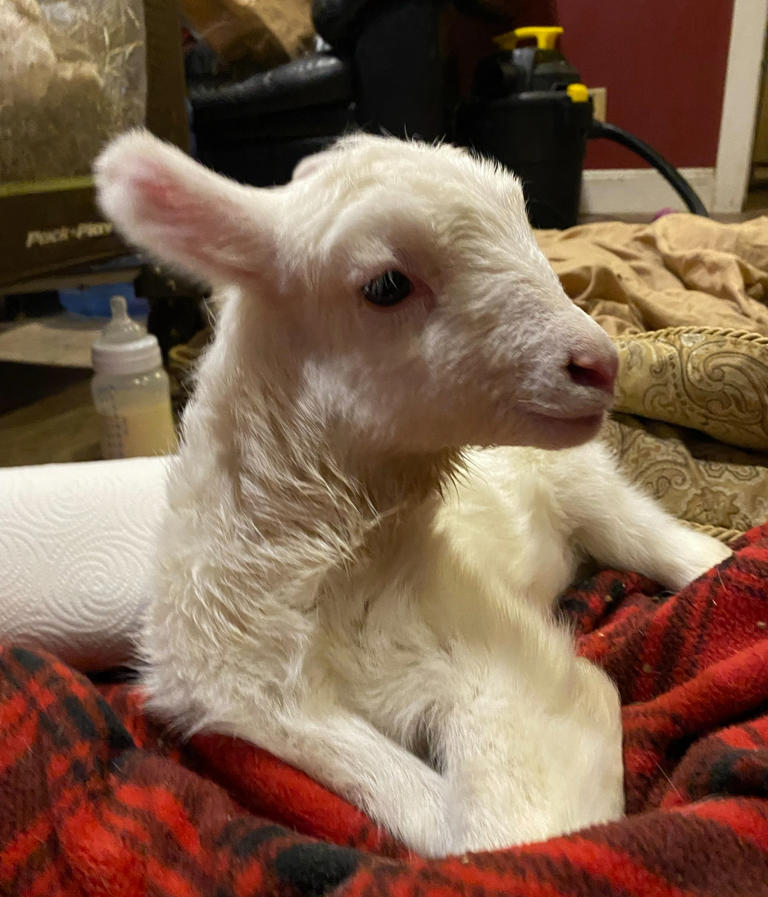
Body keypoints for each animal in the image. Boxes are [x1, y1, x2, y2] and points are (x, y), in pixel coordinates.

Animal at [95, 131, 732, 857]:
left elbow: (516, 818)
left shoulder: (483, 639)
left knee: (660, 538)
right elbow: (450, 825)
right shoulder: (252, 701)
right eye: (387, 285)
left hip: (580, 479)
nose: (599, 362)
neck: (324, 570)